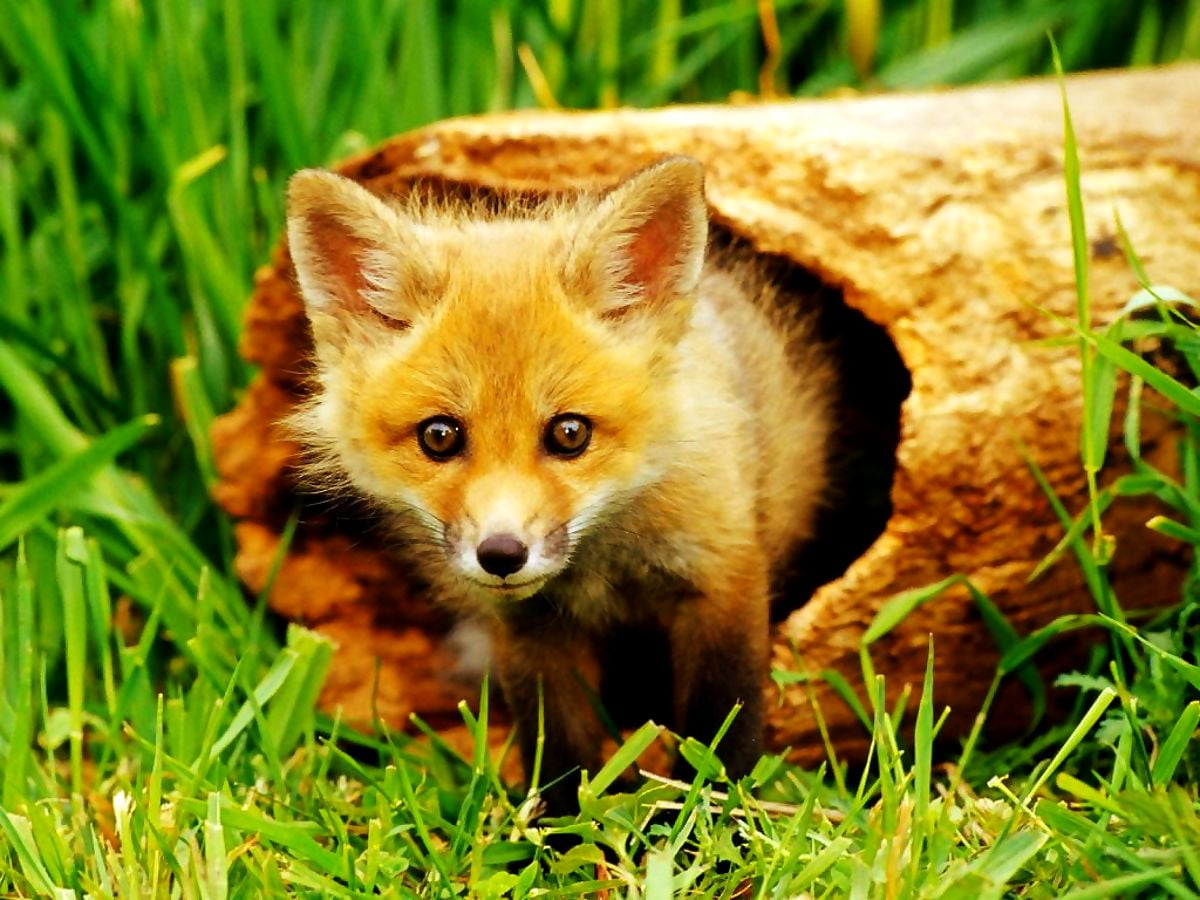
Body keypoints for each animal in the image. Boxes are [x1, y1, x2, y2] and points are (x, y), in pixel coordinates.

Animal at [284, 156, 836, 813]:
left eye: (569, 433)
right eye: (440, 437)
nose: (501, 554)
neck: (601, 565)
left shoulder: (721, 575)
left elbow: (719, 732)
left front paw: (707, 823)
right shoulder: (531, 630)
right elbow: (561, 752)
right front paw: (560, 830)